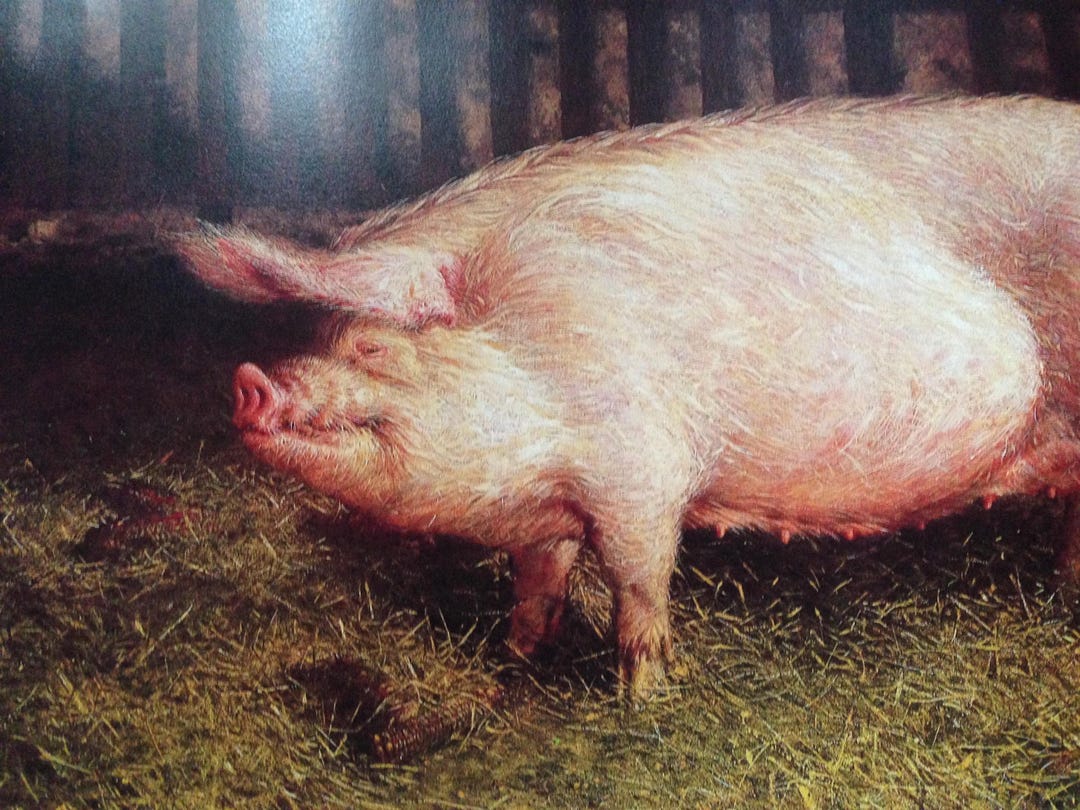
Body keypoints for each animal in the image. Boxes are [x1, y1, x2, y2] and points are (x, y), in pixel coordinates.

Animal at [176, 96, 1080, 698]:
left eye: (371, 347)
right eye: (323, 336)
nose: (250, 381)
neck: (534, 342)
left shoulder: (642, 472)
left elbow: (638, 591)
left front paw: (643, 703)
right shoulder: (550, 514)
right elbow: (538, 582)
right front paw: (515, 662)